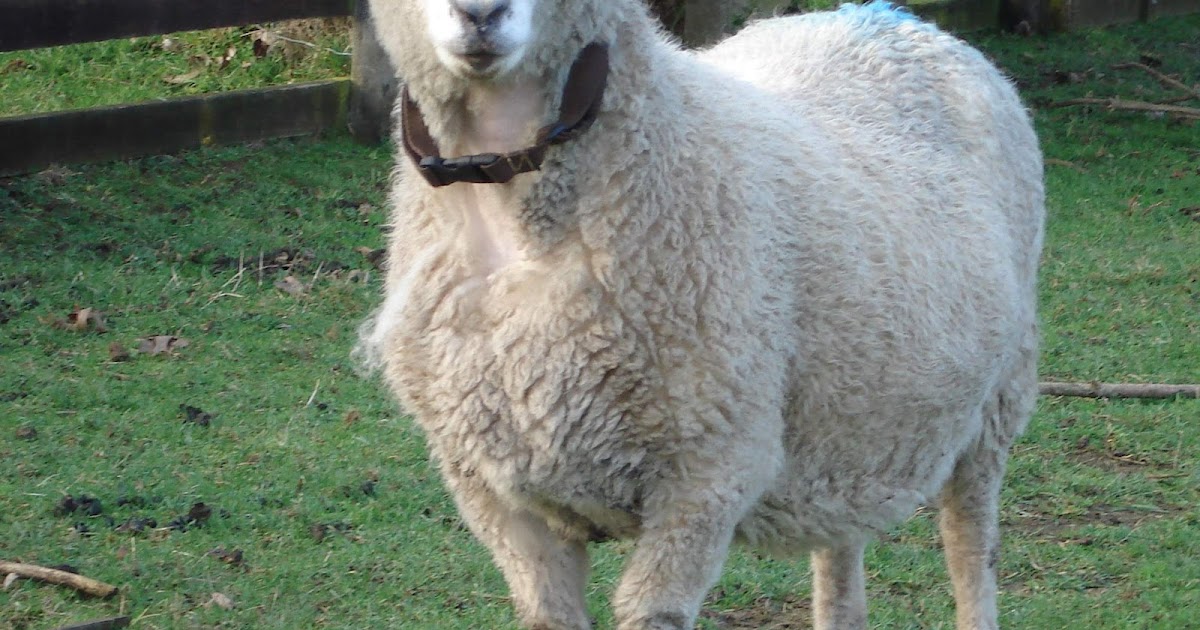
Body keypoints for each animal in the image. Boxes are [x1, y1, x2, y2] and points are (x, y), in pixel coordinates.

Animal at [358, 1, 1044, 628]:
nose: (480, 13)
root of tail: (890, 18)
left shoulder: (706, 473)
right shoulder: (496, 493)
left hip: (999, 400)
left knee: (970, 546)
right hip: (846, 418)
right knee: (842, 563)